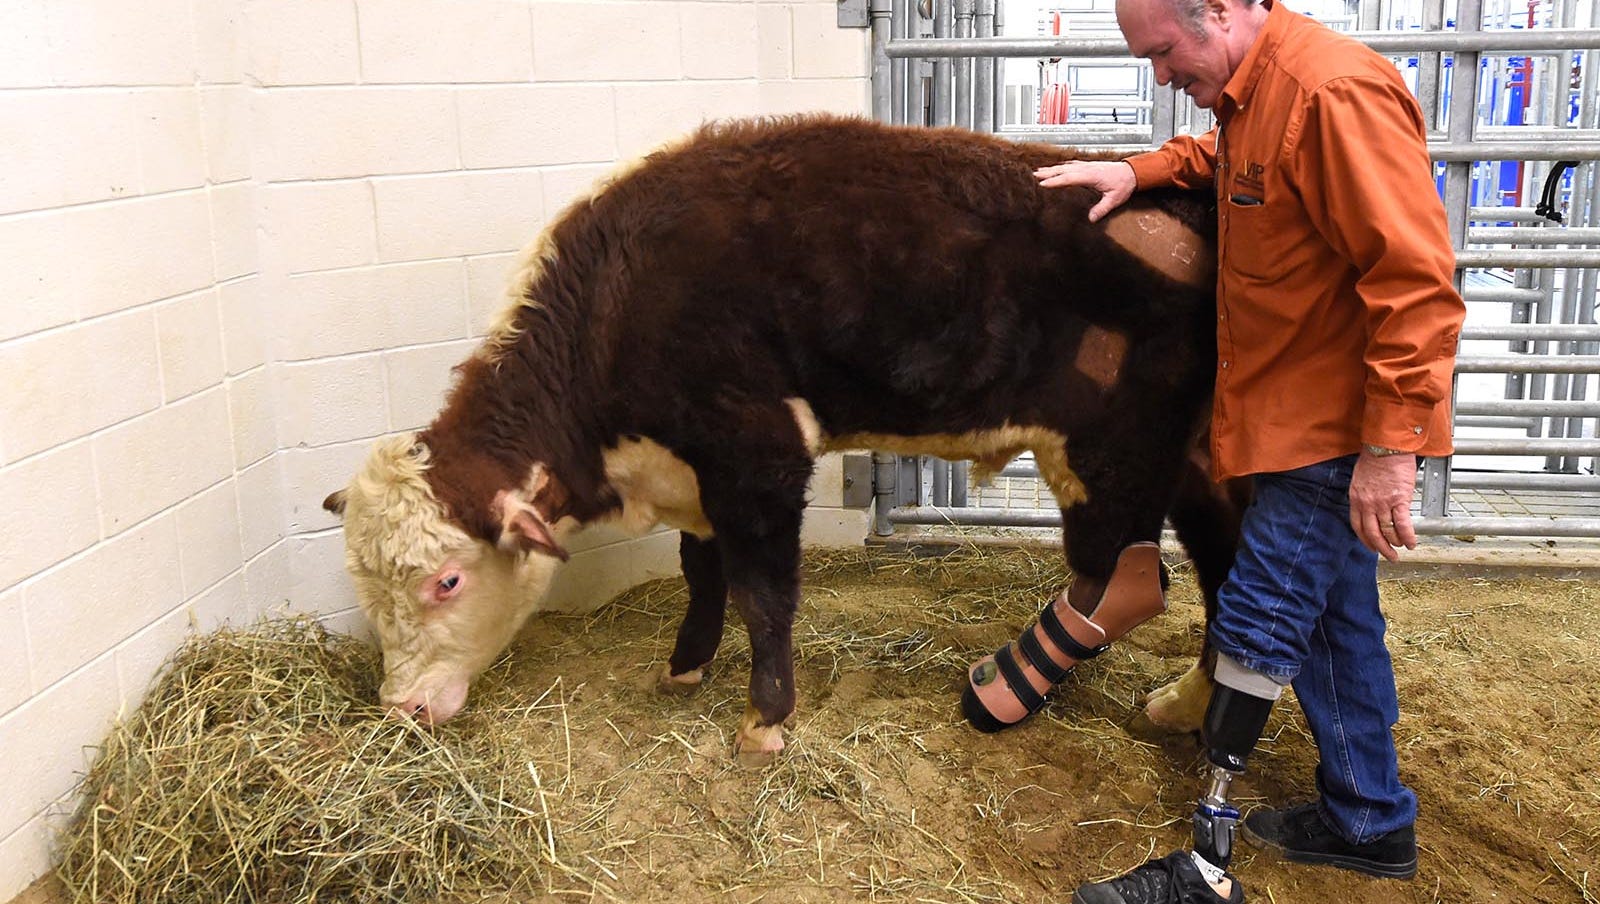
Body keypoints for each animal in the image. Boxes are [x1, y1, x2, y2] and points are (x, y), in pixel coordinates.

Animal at [322, 114, 1241, 765]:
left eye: (446, 580)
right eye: (365, 584)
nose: (401, 707)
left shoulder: (757, 453)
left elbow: (763, 595)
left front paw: (765, 721)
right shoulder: (692, 470)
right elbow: (703, 574)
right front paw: (685, 666)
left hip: (1112, 455)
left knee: (1134, 579)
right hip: (1201, 466)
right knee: (1225, 578)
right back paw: (1185, 706)